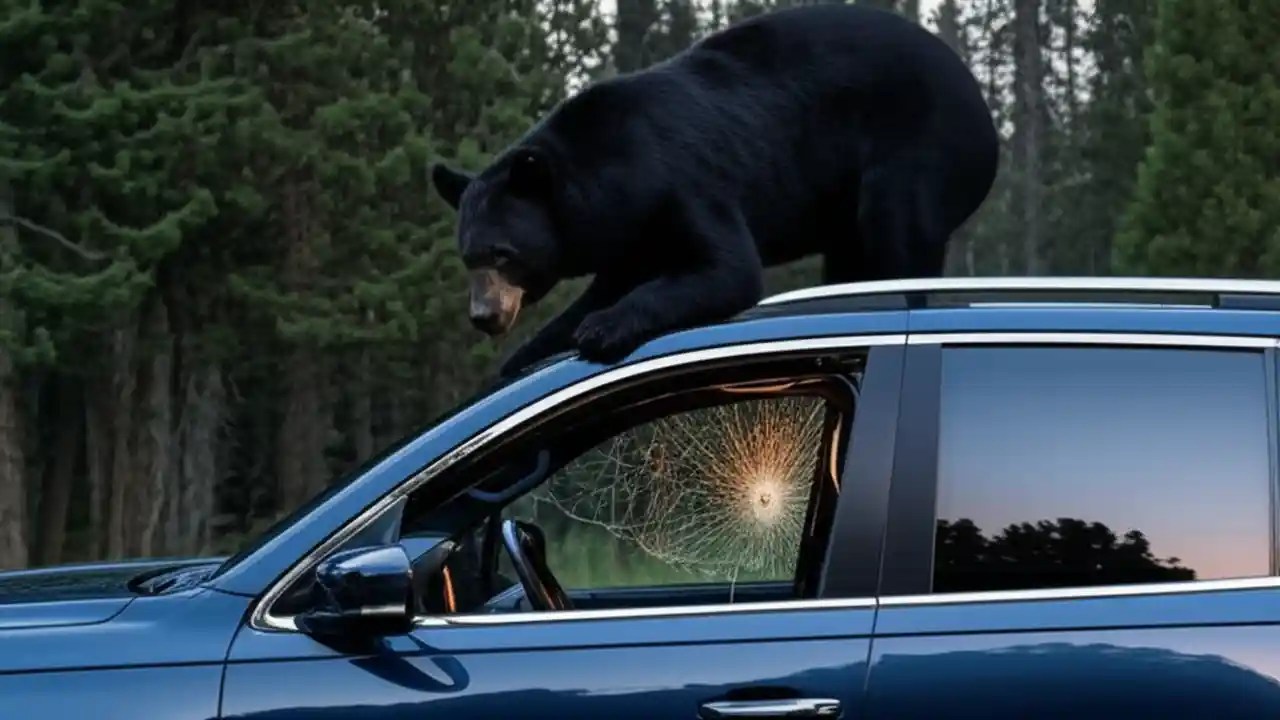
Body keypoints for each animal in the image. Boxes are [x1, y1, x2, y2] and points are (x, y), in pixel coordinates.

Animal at [432, 3, 999, 378]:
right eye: (468, 257)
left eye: (503, 253)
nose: (484, 317)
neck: (610, 172)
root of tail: (983, 106)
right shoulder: (625, 233)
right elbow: (606, 286)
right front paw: (521, 358)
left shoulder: (683, 182)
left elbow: (726, 268)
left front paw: (602, 328)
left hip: (920, 148)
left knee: (894, 230)